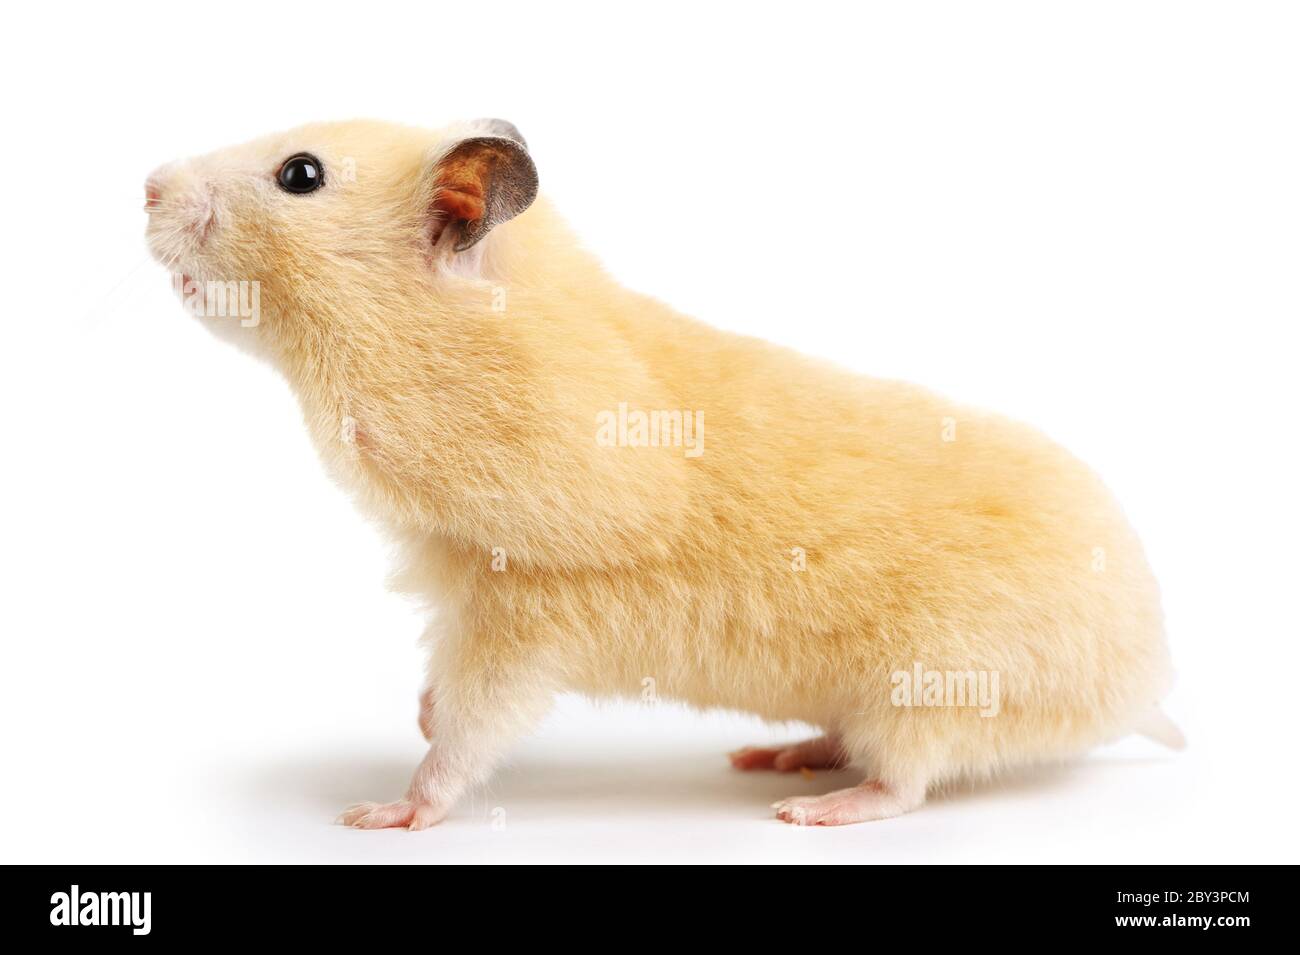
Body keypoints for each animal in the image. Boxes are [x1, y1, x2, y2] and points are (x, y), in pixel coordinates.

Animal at [144, 118, 1177, 828]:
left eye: (301, 174)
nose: (146, 184)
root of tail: (1143, 681)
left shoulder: (523, 604)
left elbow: (474, 729)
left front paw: (382, 813)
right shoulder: (465, 582)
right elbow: (445, 692)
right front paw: (421, 714)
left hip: (934, 683)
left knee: (908, 777)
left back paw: (810, 806)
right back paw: (782, 757)